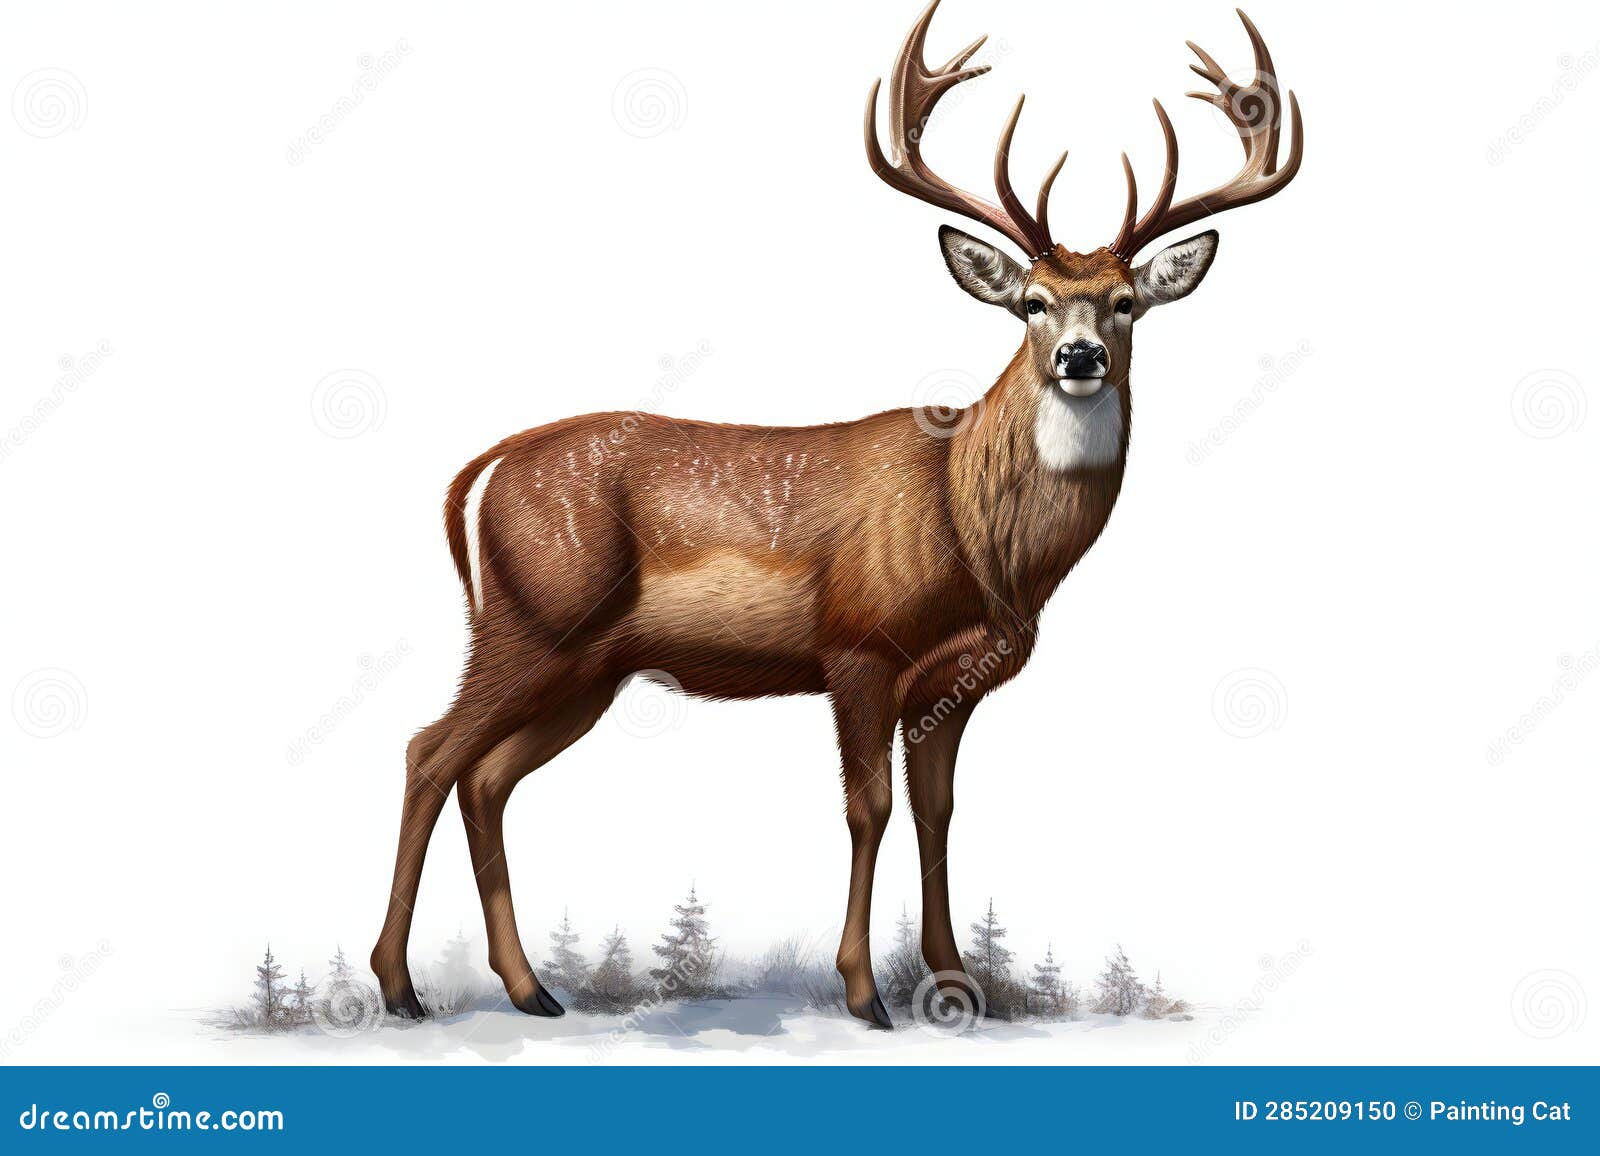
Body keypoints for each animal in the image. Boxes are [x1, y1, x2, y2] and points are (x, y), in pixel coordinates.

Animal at [372, 0, 1303, 1028]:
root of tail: (481, 472)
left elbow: (938, 813)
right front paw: (864, 992)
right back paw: (400, 987)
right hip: (531, 622)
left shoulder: (954, 680)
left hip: (586, 667)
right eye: (1031, 302)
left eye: (1128, 302)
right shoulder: (858, 646)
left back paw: (531, 988)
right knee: (428, 752)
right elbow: (870, 810)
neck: (978, 534)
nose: (1081, 357)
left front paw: (957, 983)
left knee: (486, 777)